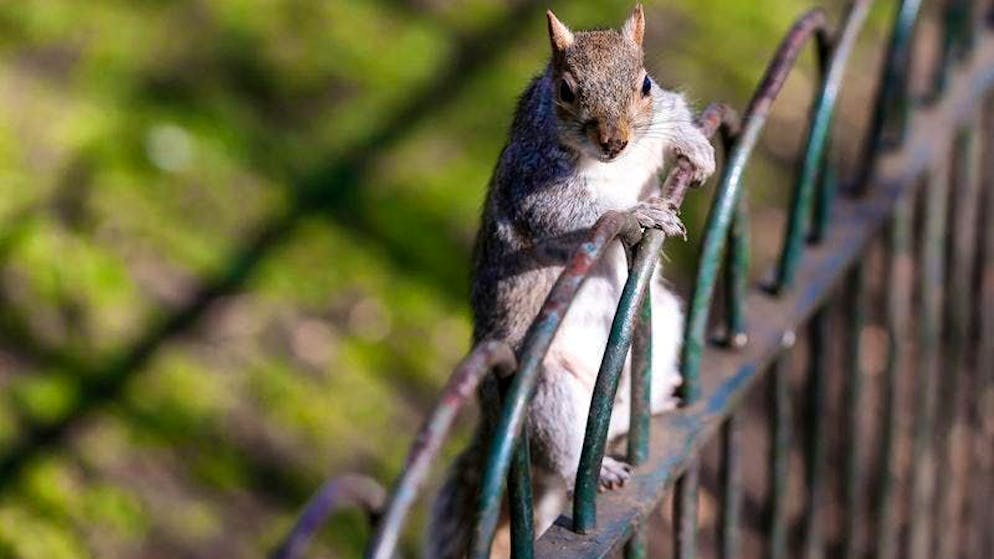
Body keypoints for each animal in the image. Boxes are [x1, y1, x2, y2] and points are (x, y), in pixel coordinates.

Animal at [425, 5, 715, 558]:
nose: (615, 141)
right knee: (564, 454)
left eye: (645, 83)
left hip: (665, 321)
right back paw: (597, 469)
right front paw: (640, 211)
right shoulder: (534, 183)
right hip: (547, 389)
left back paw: (657, 400)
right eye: (565, 90)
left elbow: (675, 110)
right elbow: (569, 212)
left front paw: (695, 143)